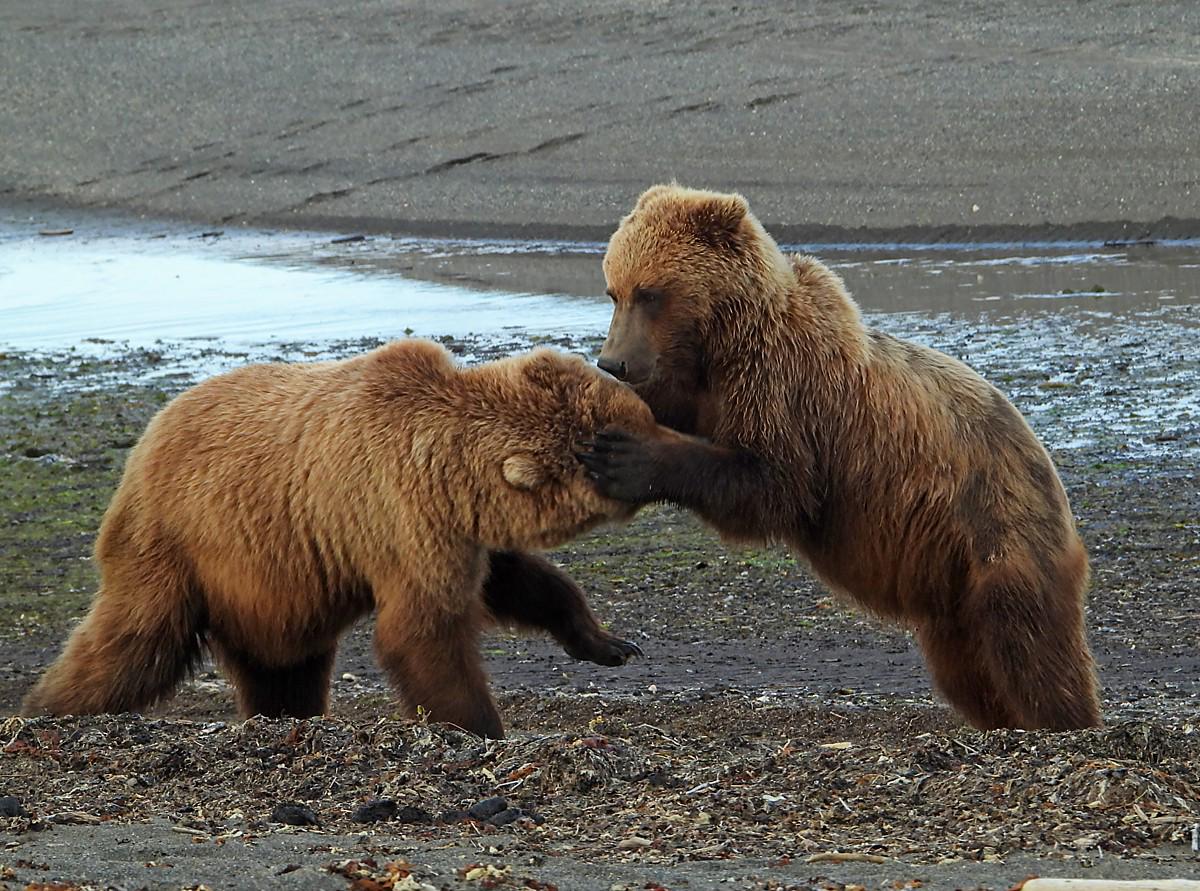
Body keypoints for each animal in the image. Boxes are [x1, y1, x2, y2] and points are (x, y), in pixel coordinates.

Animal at [23, 340, 658, 738]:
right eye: (617, 441)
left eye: (641, 416)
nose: (668, 448)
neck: (450, 467)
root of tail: (146, 438)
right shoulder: (398, 514)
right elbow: (422, 632)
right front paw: (481, 727)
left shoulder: (459, 528)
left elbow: (519, 583)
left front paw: (608, 642)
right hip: (179, 544)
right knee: (131, 643)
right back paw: (45, 708)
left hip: (272, 591)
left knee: (284, 672)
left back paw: (286, 716)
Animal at [578, 183, 1102, 731]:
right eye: (614, 291)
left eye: (650, 294)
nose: (612, 361)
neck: (723, 342)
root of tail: (1044, 463)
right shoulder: (706, 388)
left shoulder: (784, 385)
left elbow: (774, 484)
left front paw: (625, 457)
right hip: (951, 588)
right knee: (967, 669)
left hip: (1000, 531)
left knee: (1029, 647)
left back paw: (1063, 719)